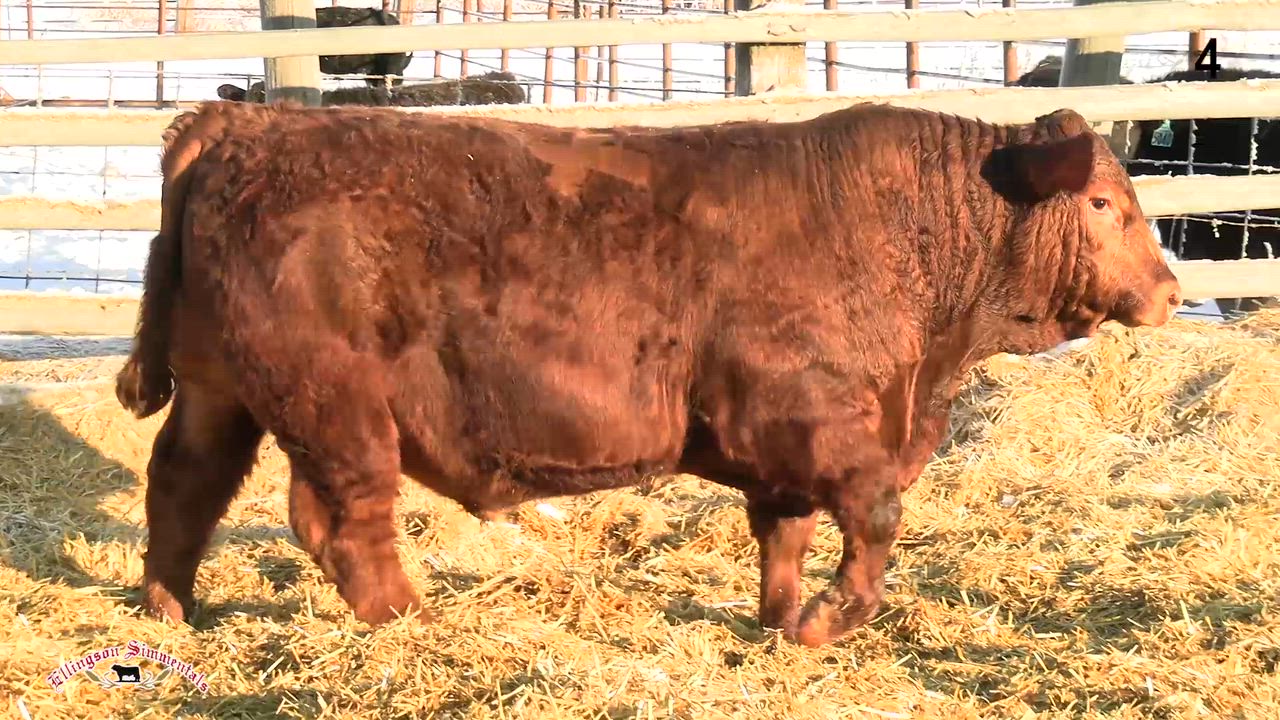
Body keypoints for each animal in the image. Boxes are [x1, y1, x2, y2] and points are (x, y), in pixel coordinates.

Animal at [114, 100, 1180, 647]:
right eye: (1100, 202)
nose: (1170, 289)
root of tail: (249, 125)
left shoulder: (788, 455)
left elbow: (784, 535)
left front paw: (777, 621)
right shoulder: (814, 423)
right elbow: (874, 517)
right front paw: (824, 623)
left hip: (219, 392)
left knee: (184, 487)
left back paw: (168, 612)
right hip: (336, 409)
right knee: (341, 520)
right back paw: (416, 621)